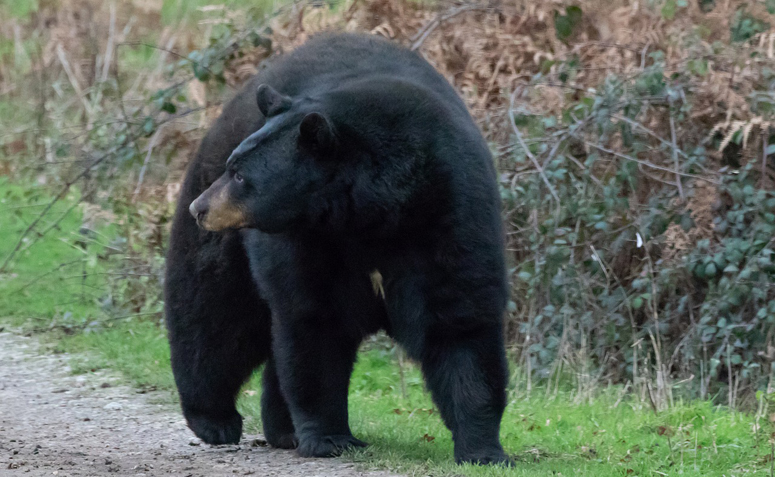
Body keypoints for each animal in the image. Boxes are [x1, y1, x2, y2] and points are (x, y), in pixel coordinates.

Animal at [165, 32, 510, 465]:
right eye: (233, 165)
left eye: (241, 175)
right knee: (213, 308)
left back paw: (282, 429)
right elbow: (315, 322)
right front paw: (330, 438)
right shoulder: (309, 240)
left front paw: (484, 450)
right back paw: (215, 419)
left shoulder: (450, 214)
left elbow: (459, 321)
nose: (200, 207)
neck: (373, 214)